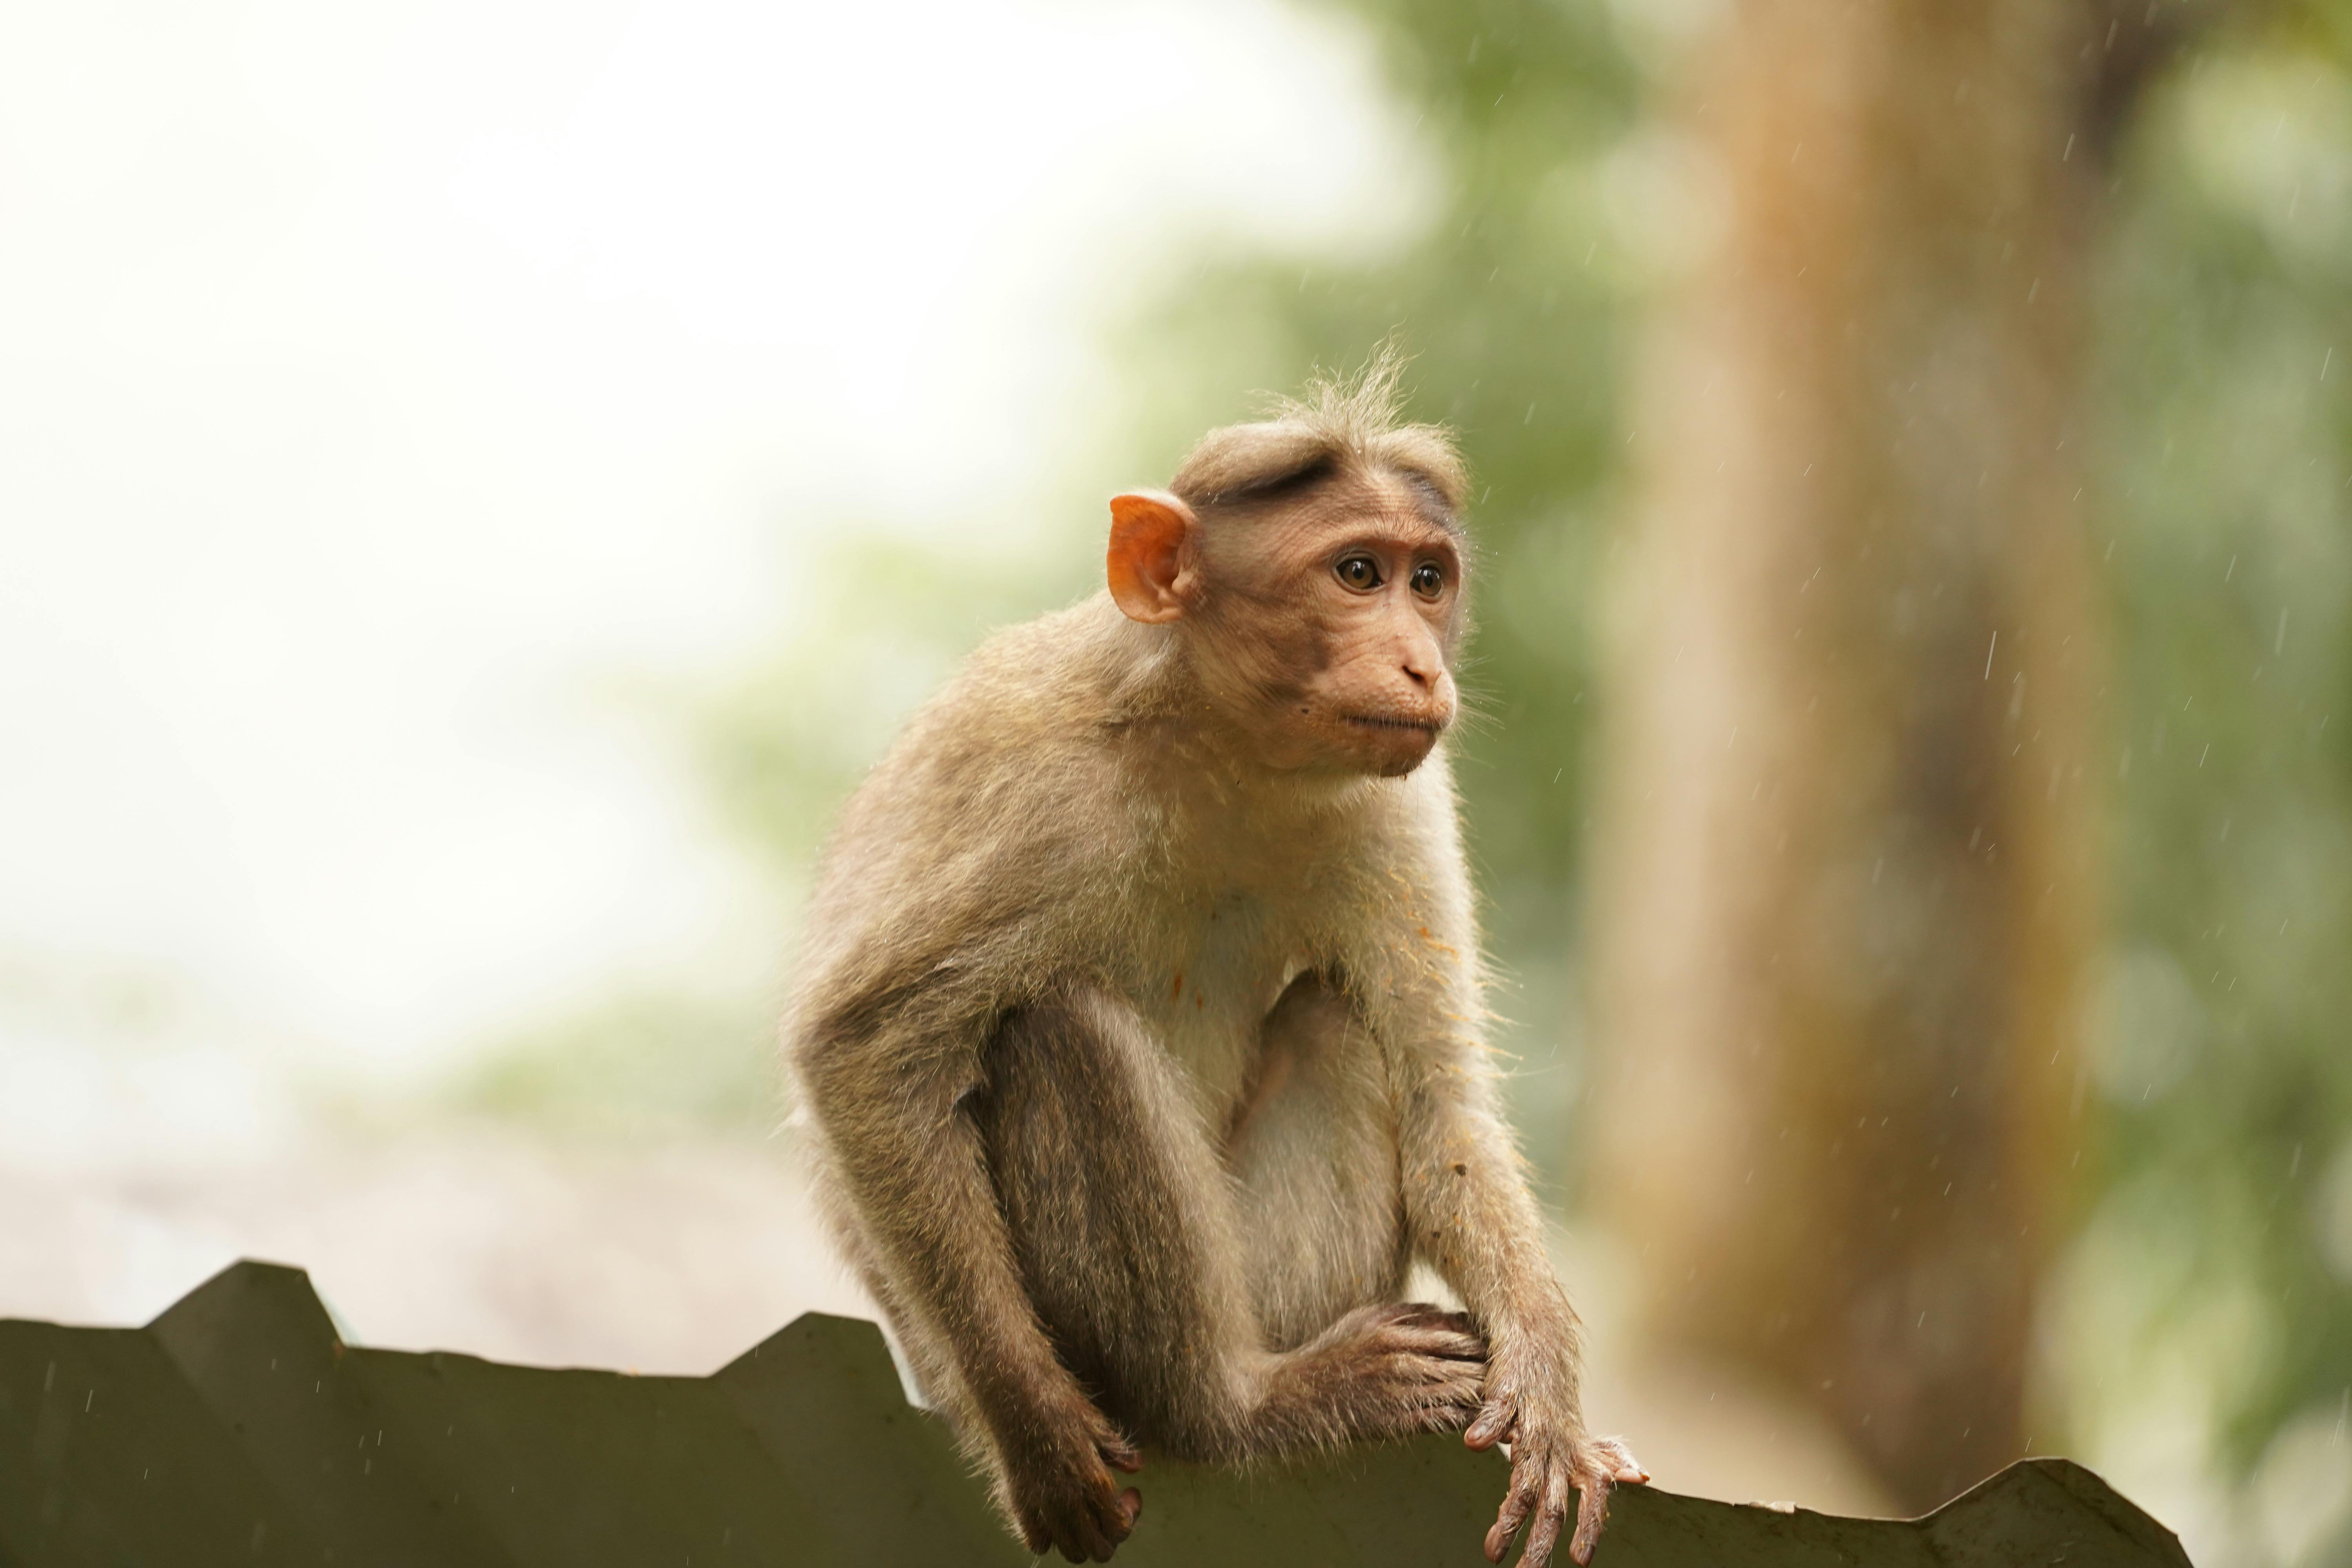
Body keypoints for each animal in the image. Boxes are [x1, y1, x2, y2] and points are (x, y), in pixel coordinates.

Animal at [784, 357, 1645, 1568]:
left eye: (1428, 580)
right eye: (1356, 573)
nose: (1422, 664)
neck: (1225, 748)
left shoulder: (1397, 808)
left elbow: (1446, 1105)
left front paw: (1550, 1397)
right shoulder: (1030, 783)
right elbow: (860, 1050)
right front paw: (1038, 1433)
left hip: (1280, 1283)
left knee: (1337, 1024)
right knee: (1059, 1023)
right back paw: (1234, 1405)